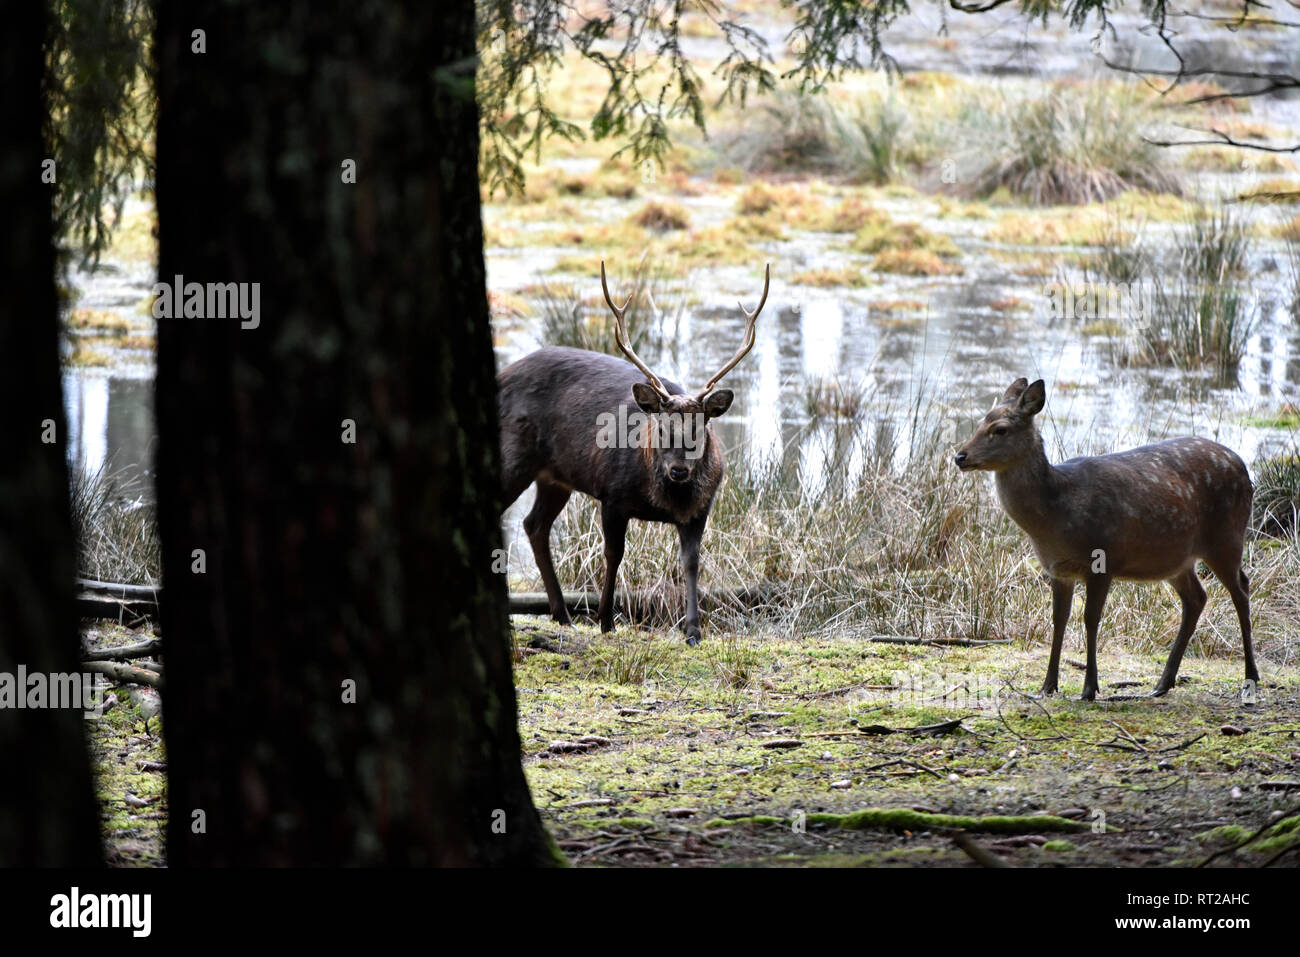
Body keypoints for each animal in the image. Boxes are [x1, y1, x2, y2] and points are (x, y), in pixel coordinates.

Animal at [497, 261, 770, 645]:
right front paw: (606, 620)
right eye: (661, 428)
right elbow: (614, 554)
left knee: (534, 524)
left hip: (555, 477)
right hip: (515, 458)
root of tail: (500, 377)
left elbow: (691, 561)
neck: (666, 501)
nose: (678, 471)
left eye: (700, 430)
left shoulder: (701, 507)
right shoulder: (612, 494)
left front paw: (693, 631)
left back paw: (562, 614)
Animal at [955, 378, 1260, 701]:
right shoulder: (1057, 570)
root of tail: (1243, 467)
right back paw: (1162, 684)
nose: (960, 456)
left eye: (1000, 429)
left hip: (1227, 537)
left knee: (1241, 589)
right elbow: (1058, 620)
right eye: (979, 422)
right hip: (1178, 559)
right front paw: (1047, 686)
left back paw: (1250, 677)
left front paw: (1089, 688)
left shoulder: (1103, 559)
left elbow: (1091, 619)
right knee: (1197, 597)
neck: (1055, 516)